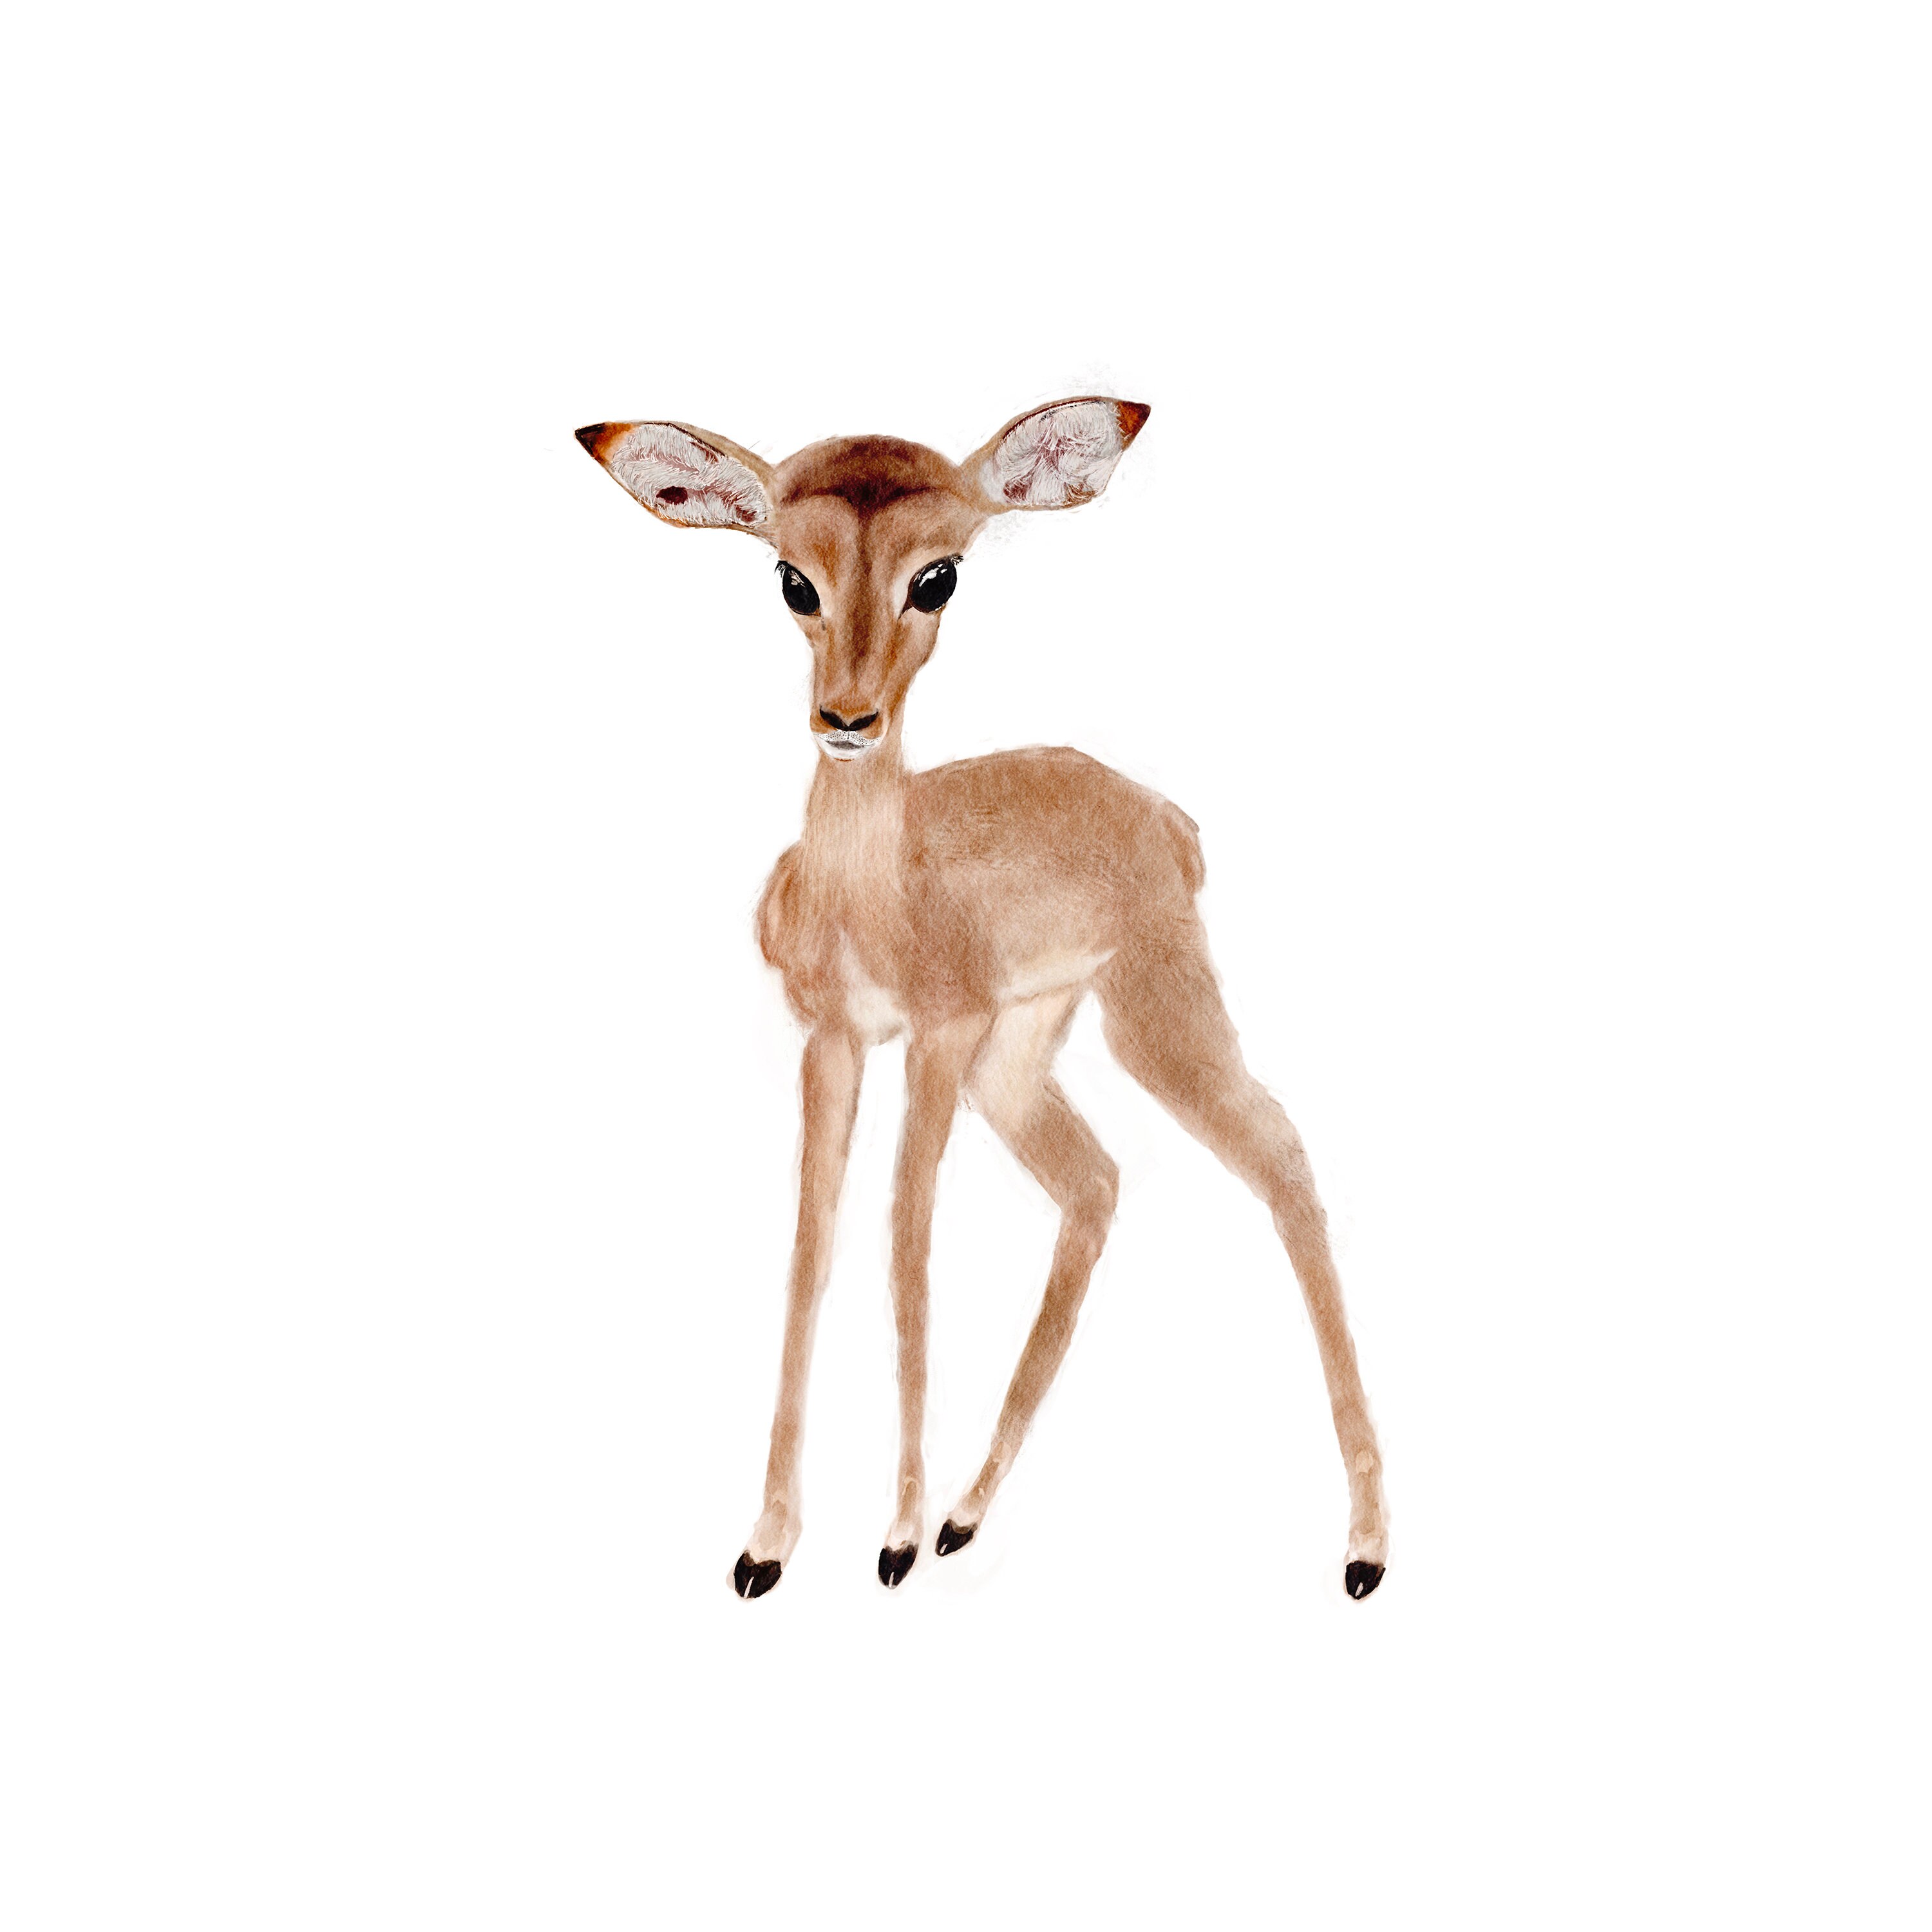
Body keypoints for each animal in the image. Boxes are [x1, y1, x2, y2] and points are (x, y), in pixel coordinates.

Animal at [576, 398, 1388, 1601]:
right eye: (792, 578)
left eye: (939, 575)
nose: (847, 717)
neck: (872, 891)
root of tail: (1167, 814)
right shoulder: (836, 1041)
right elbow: (811, 1249)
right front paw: (768, 1545)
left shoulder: (934, 1037)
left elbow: (906, 1244)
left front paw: (892, 1538)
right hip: (1021, 1056)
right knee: (1095, 1181)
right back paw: (967, 1515)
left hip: (1152, 1012)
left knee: (1278, 1150)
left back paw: (1365, 1549)